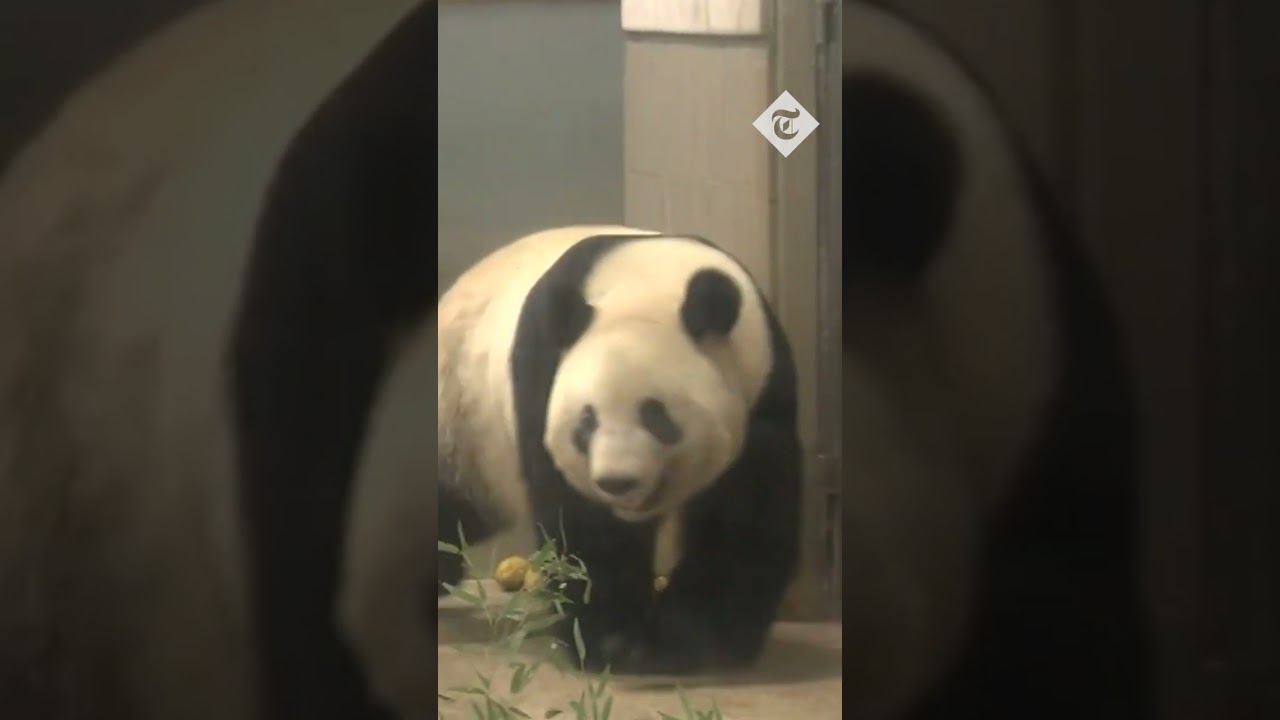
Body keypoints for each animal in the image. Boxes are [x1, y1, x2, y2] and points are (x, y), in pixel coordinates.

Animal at [435, 225, 803, 676]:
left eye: (655, 416)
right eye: (586, 422)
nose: (617, 482)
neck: (647, 281)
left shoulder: (762, 384)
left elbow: (746, 514)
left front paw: (700, 640)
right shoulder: (541, 373)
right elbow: (583, 523)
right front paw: (613, 642)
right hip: (462, 415)